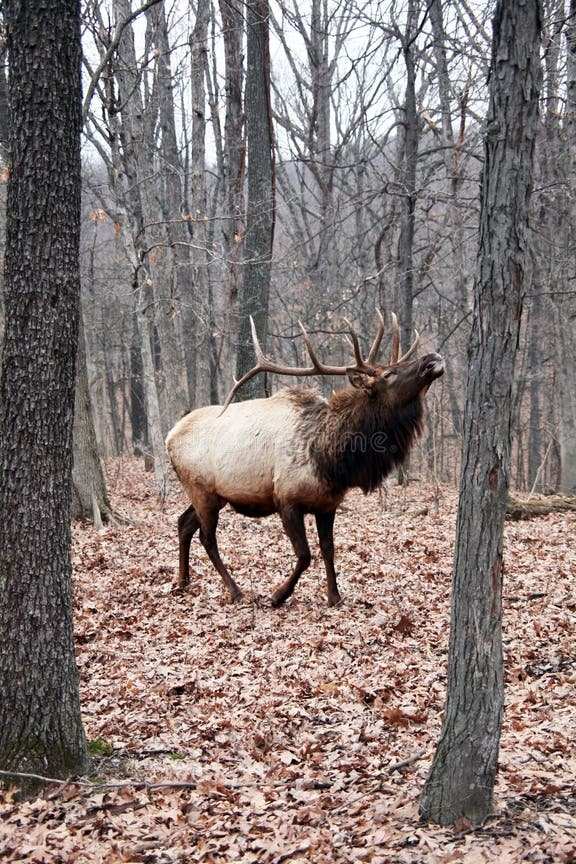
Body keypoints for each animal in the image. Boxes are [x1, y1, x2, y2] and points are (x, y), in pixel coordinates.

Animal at [165, 311, 444, 608]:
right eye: (389, 374)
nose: (432, 358)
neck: (332, 461)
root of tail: (169, 438)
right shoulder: (286, 499)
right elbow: (305, 554)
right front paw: (277, 595)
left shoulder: (328, 504)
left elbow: (328, 549)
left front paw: (334, 597)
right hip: (201, 490)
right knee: (207, 537)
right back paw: (235, 590)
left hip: (214, 495)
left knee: (184, 523)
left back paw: (182, 581)